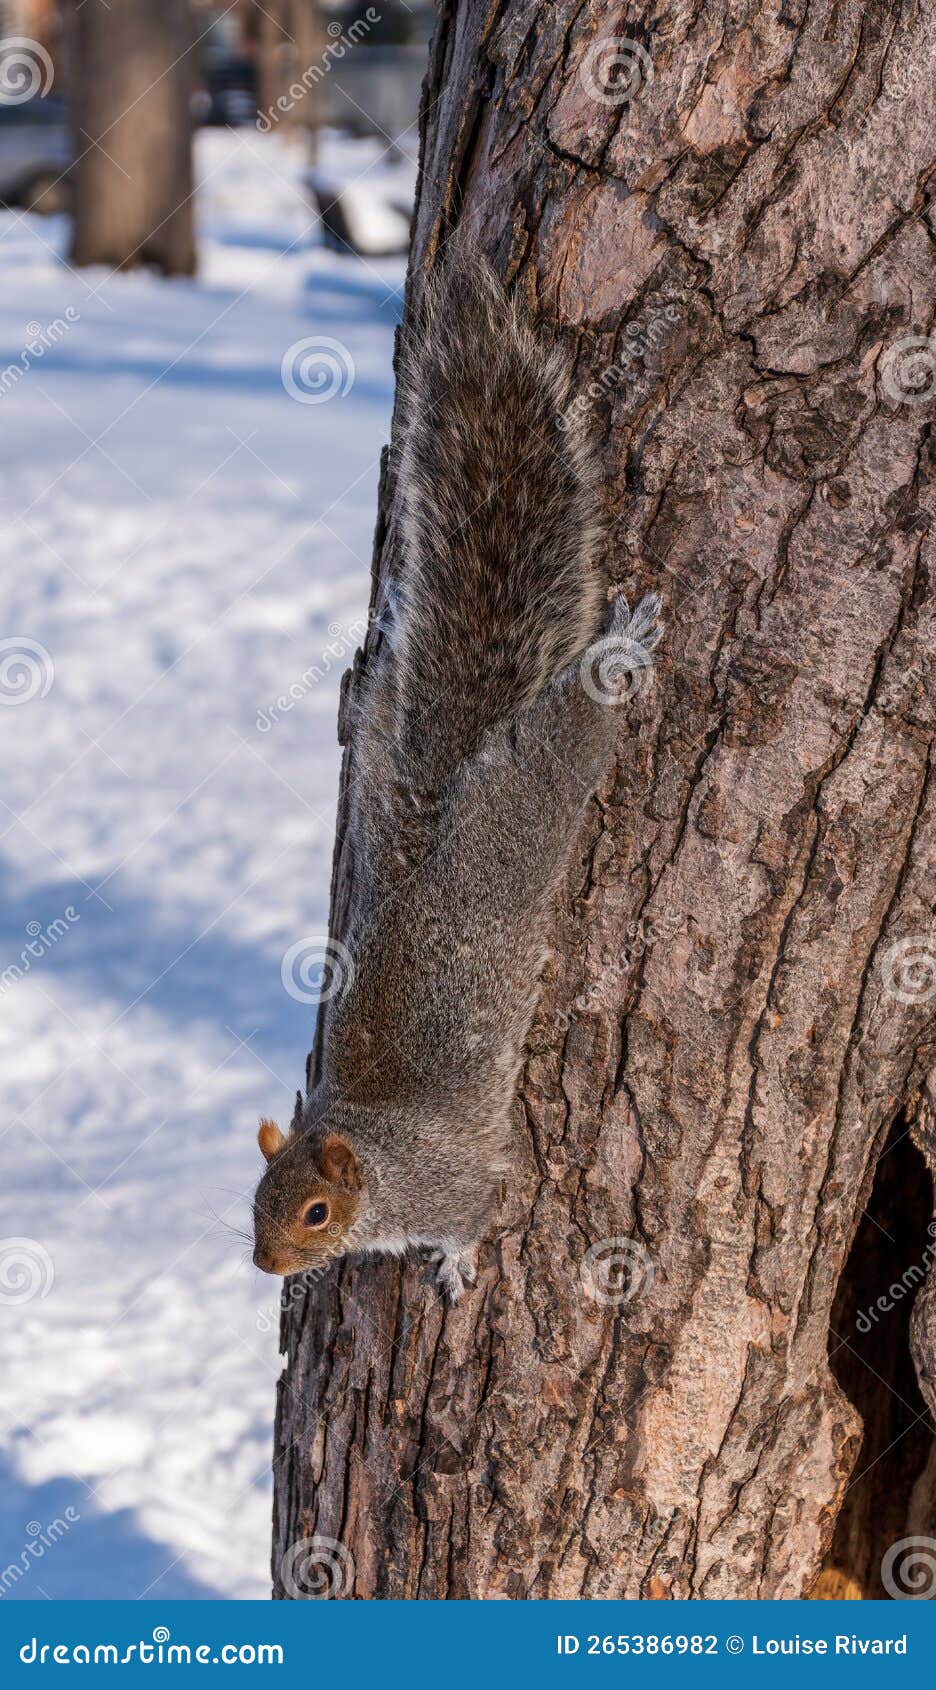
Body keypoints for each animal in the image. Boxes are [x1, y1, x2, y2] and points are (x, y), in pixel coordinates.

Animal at [252, 248, 662, 1302]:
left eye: (315, 1213)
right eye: (253, 1201)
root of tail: (437, 835)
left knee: (568, 736)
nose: (269, 1265)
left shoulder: (459, 1181)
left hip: (530, 810)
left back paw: (620, 653)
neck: (374, 1154)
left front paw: (457, 1261)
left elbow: (477, 1214)